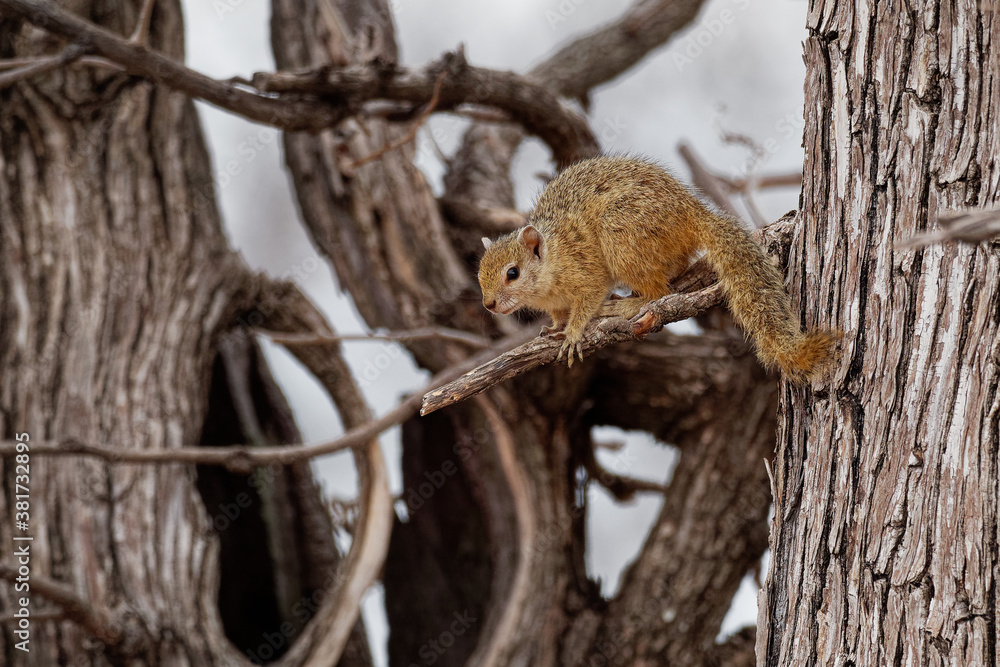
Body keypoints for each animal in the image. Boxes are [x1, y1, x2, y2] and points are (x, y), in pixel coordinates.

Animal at [477, 155, 838, 382]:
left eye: (512, 273)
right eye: (480, 273)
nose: (489, 304)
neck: (551, 266)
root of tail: (690, 213)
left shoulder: (585, 271)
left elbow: (588, 299)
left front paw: (573, 333)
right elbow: (557, 316)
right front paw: (555, 328)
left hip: (622, 236)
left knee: (659, 292)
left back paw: (626, 305)